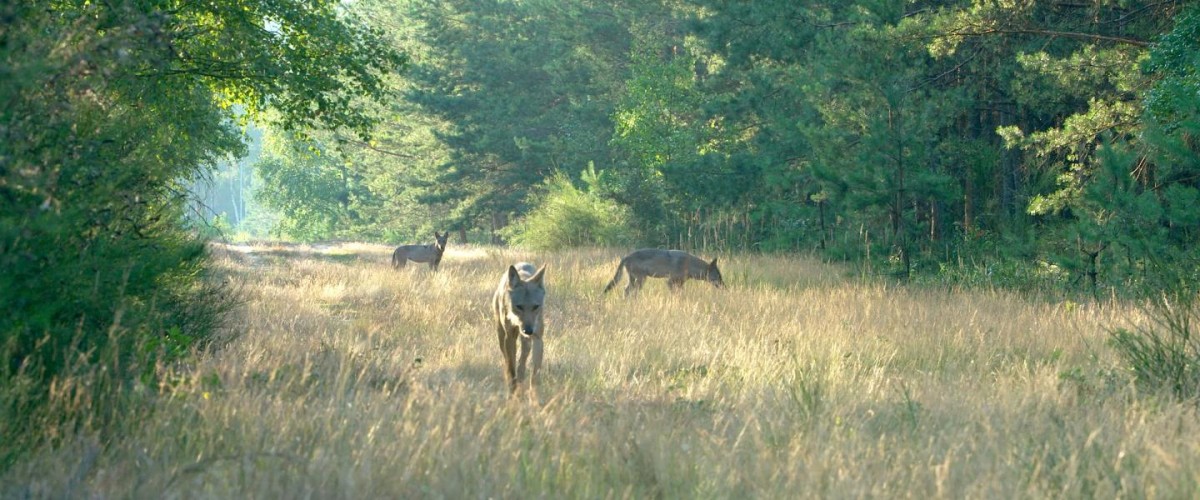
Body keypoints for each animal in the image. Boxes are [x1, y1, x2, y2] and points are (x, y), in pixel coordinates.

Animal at [493, 262, 547, 394]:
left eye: (536, 307)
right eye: (519, 307)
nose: (528, 330)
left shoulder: (538, 338)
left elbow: (535, 375)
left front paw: (534, 396)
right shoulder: (510, 338)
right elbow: (511, 367)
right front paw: (513, 391)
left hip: (526, 342)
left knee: (522, 360)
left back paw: (521, 377)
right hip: (502, 337)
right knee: (508, 360)